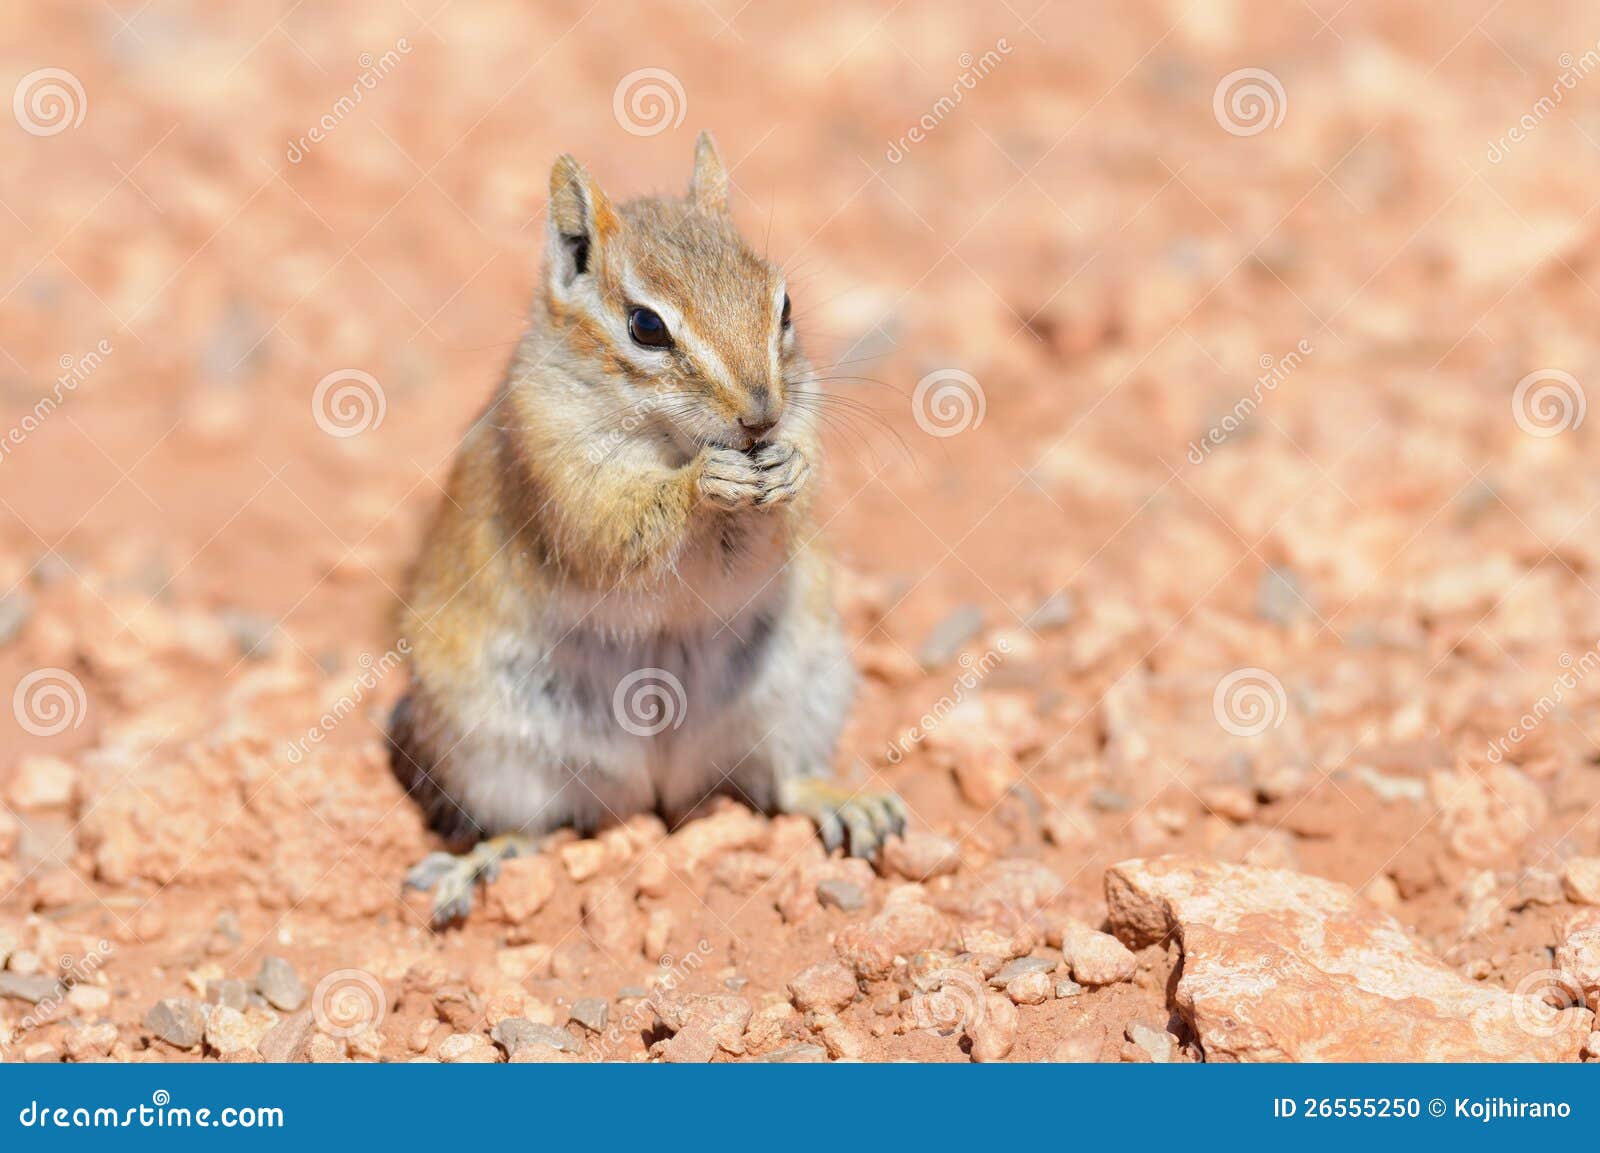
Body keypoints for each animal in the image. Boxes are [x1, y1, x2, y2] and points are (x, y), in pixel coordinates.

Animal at [388, 131, 905, 925]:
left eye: (784, 305)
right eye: (646, 326)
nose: (761, 414)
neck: (669, 440)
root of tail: (659, 785)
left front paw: (787, 471)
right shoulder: (554, 467)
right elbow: (613, 530)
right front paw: (702, 486)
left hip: (803, 692)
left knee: (781, 782)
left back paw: (846, 800)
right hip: (493, 753)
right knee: (538, 826)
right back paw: (479, 861)